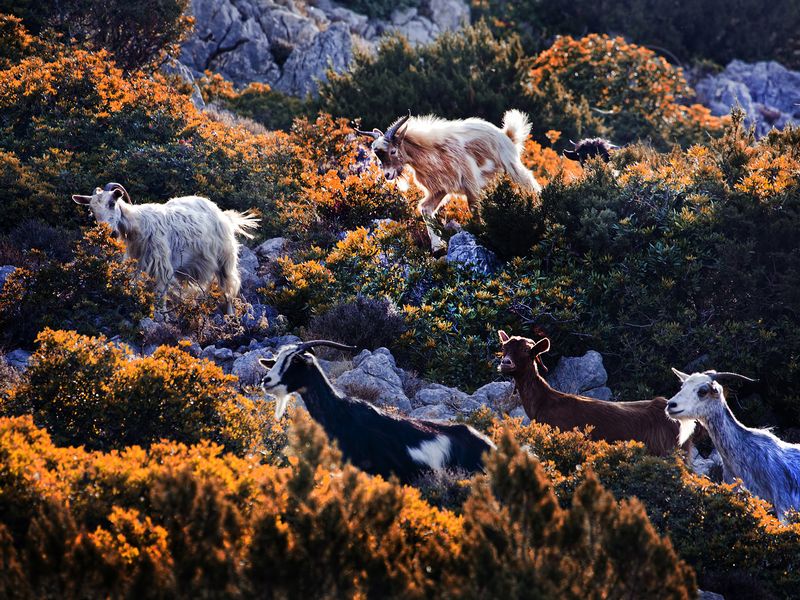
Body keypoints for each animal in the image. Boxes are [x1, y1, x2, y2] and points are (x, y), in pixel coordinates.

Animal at [73, 183, 259, 314]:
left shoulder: (162, 265)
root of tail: (223, 214)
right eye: (92, 210)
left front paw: (161, 317)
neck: (139, 224)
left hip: (224, 259)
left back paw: (230, 315)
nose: (109, 232)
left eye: (112, 203)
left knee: (228, 289)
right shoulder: (138, 264)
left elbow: (160, 295)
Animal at [356, 111, 542, 255]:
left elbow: (474, 210)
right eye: (378, 154)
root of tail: (507, 136)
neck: (431, 151)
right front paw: (437, 247)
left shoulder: (470, 184)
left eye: (393, 151)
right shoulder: (440, 189)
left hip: (512, 169)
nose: (388, 175)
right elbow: (425, 209)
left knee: (530, 185)